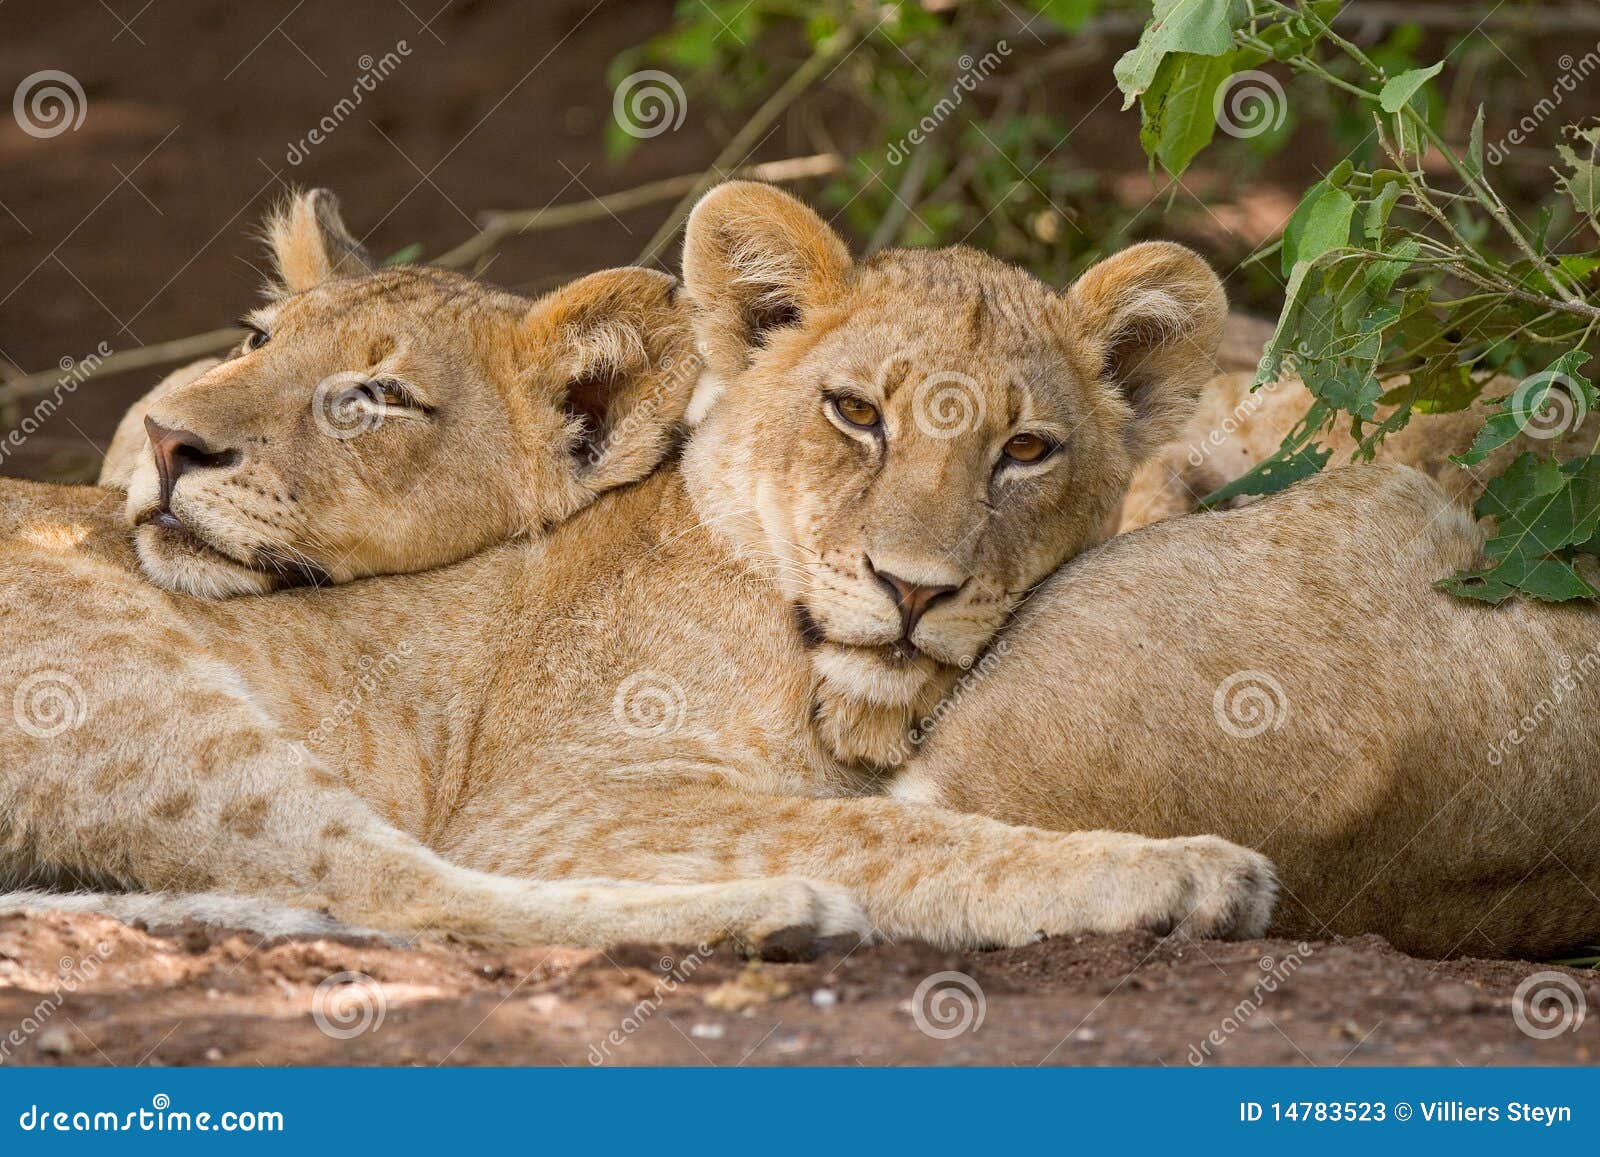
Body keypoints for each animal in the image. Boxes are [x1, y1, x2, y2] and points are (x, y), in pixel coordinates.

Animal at [0, 189, 1278, 950]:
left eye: (1025, 451)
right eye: (855, 414)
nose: (914, 588)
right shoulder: (550, 800)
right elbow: (889, 832)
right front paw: (1177, 869)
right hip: (144, 690)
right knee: (388, 885)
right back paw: (786, 911)